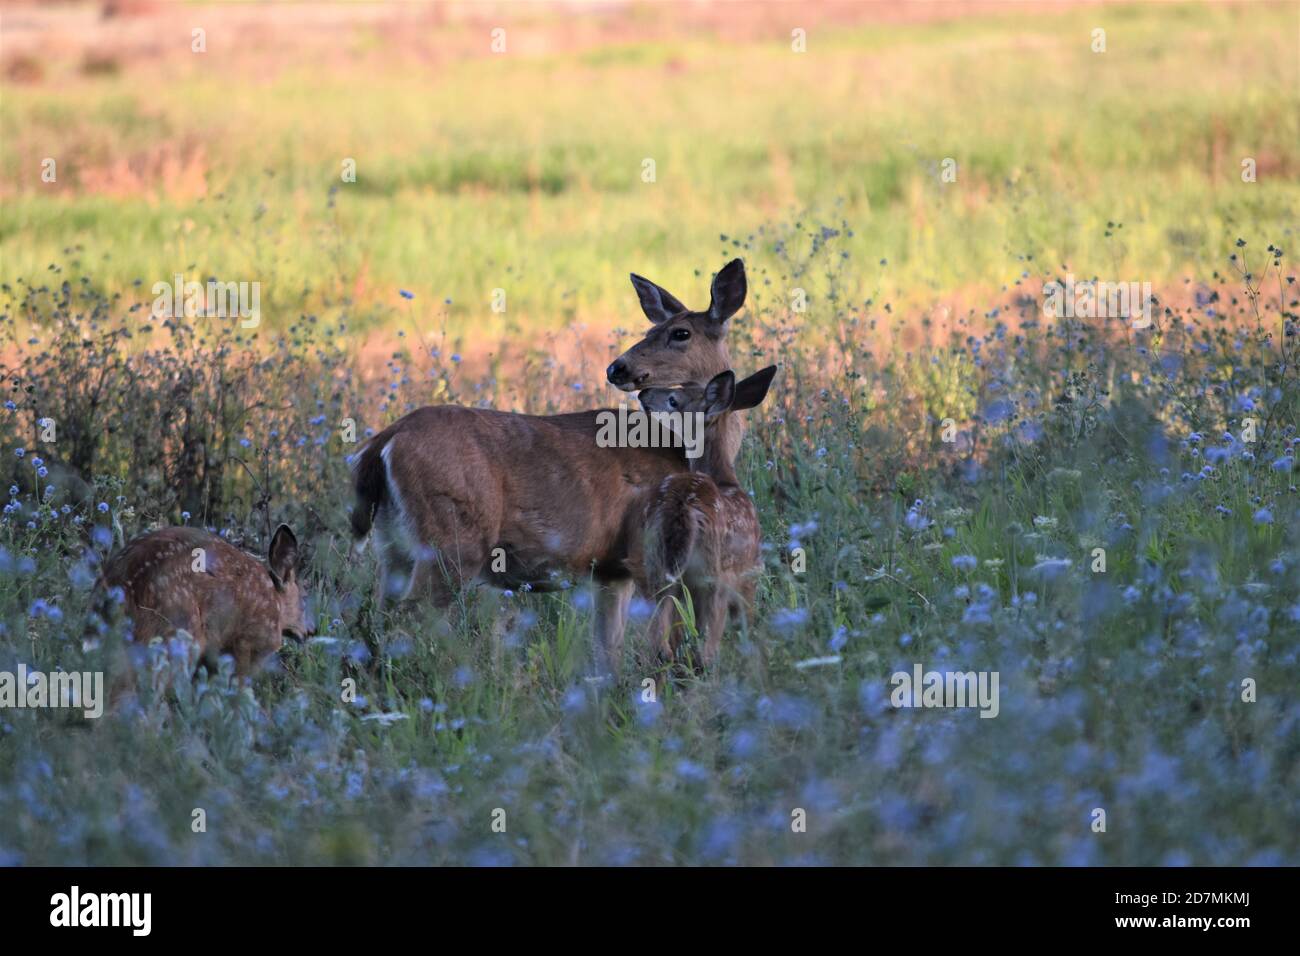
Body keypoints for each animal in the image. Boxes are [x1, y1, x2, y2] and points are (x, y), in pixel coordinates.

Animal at [349, 259, 748, 668]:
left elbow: (607, 650)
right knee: (408, 618)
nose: (617, 368)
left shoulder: (611, 570)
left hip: (392, 543)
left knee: (378, 618)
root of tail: (384, 441)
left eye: (680, 333)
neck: (685, 455)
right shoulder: (647, 555)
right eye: (653, 329)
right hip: (453, 540)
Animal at [628, 366, 777, 670]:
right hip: (712, 576)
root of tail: (681, 505)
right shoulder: (749, 574)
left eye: (674, 400)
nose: (643, 393)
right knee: (704, 649)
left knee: (660, 646)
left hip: (655, 568)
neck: (726, 480)